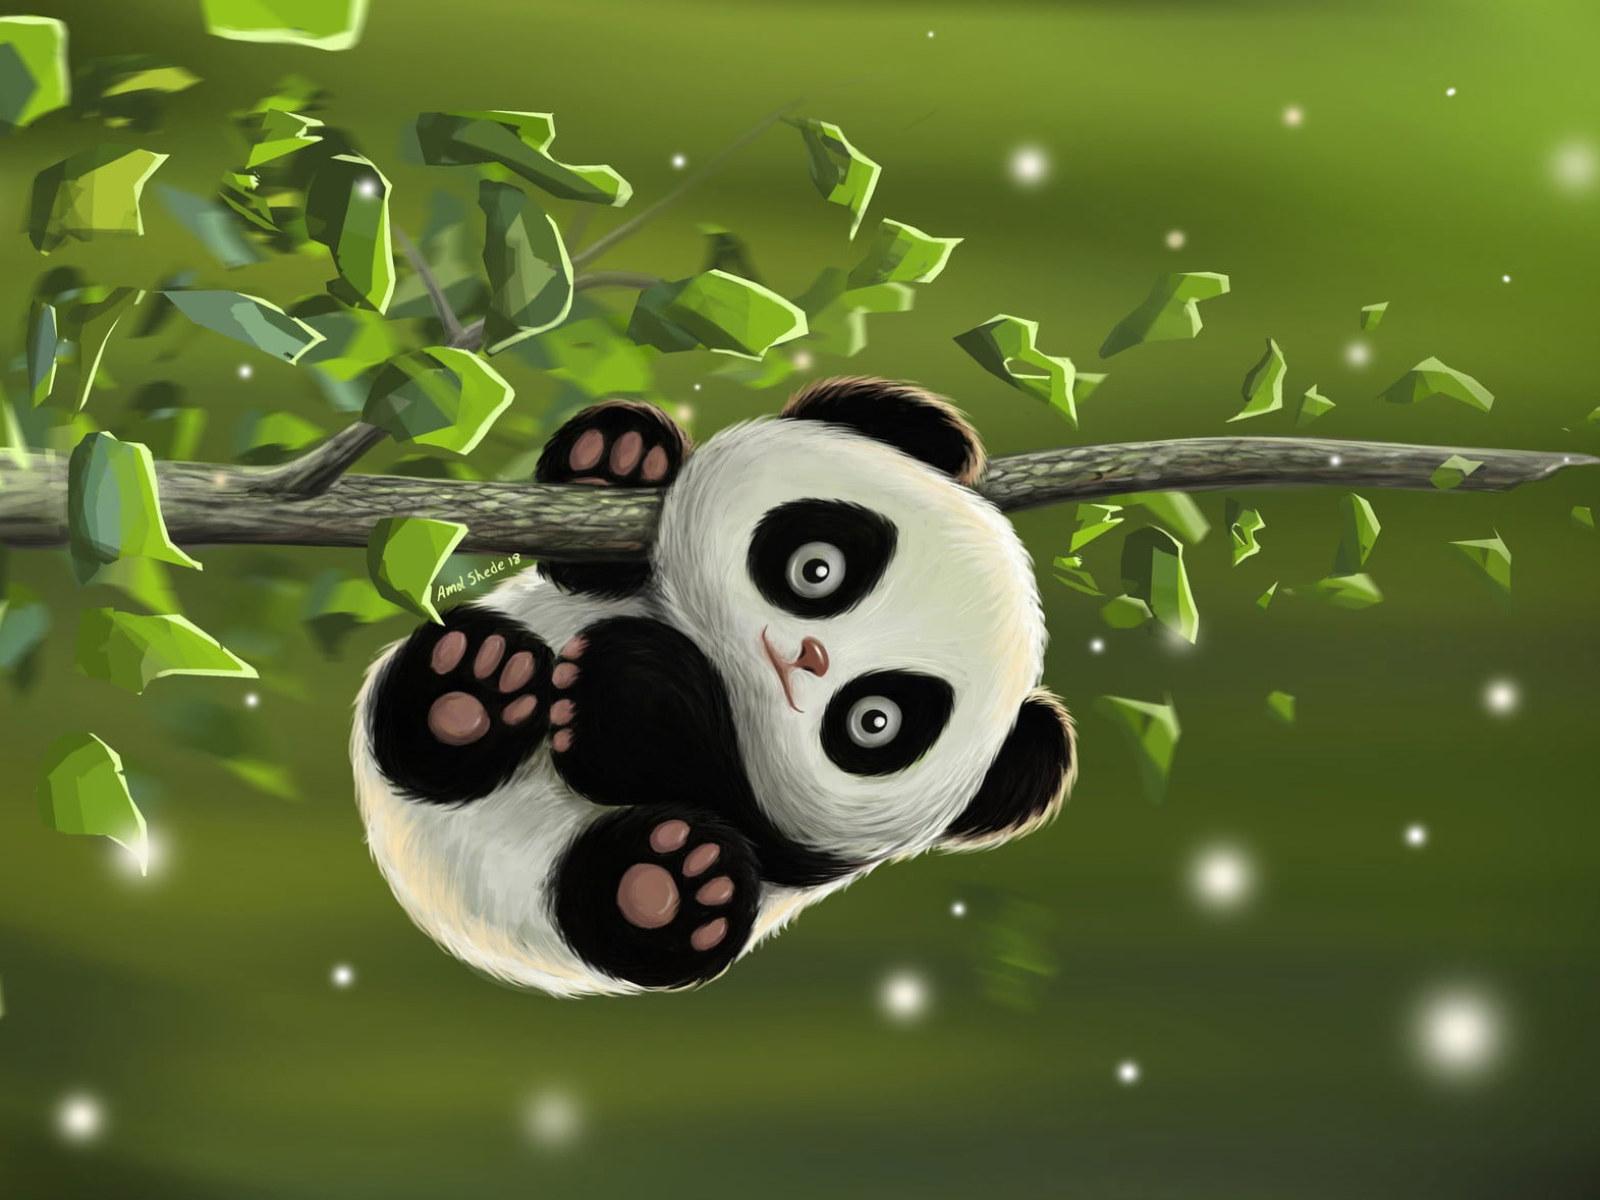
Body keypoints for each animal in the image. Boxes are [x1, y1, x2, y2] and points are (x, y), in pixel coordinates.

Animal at [351, 377, 1076, 997]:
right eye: (818, 568)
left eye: (875, 720)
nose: (808, 659)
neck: (717, 660)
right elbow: (589, 563)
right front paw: (618, 457)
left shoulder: (798, 840)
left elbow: (727, 794)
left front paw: (619, 688)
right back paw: (474, 685)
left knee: (640, 910)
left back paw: (669, 882)